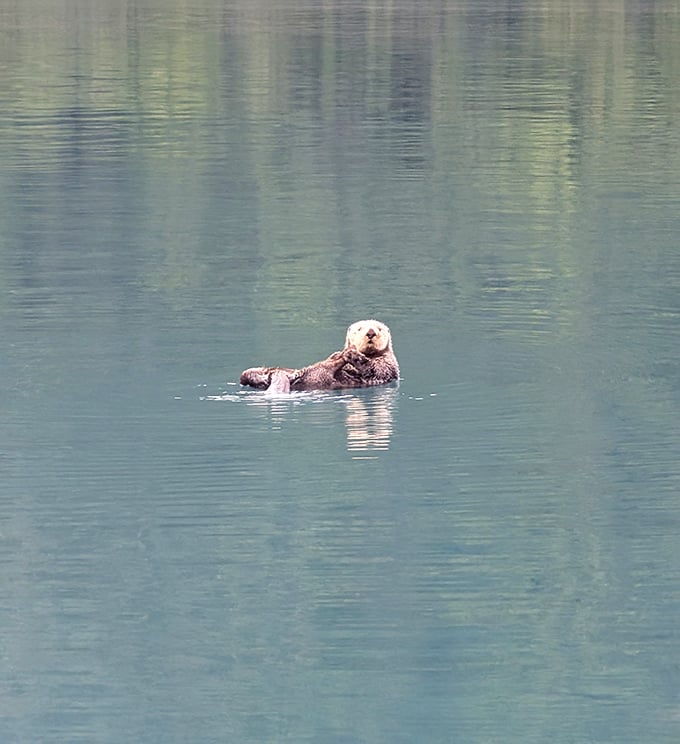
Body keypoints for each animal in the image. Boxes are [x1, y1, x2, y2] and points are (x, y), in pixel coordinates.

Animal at [240, 320, 400, 392]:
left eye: (379, 329)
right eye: (360, 329)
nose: (371, 332)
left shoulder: (387, 364)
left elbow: (374, 369)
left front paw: (354, 356)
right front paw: (343, 352)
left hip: (320, 375)